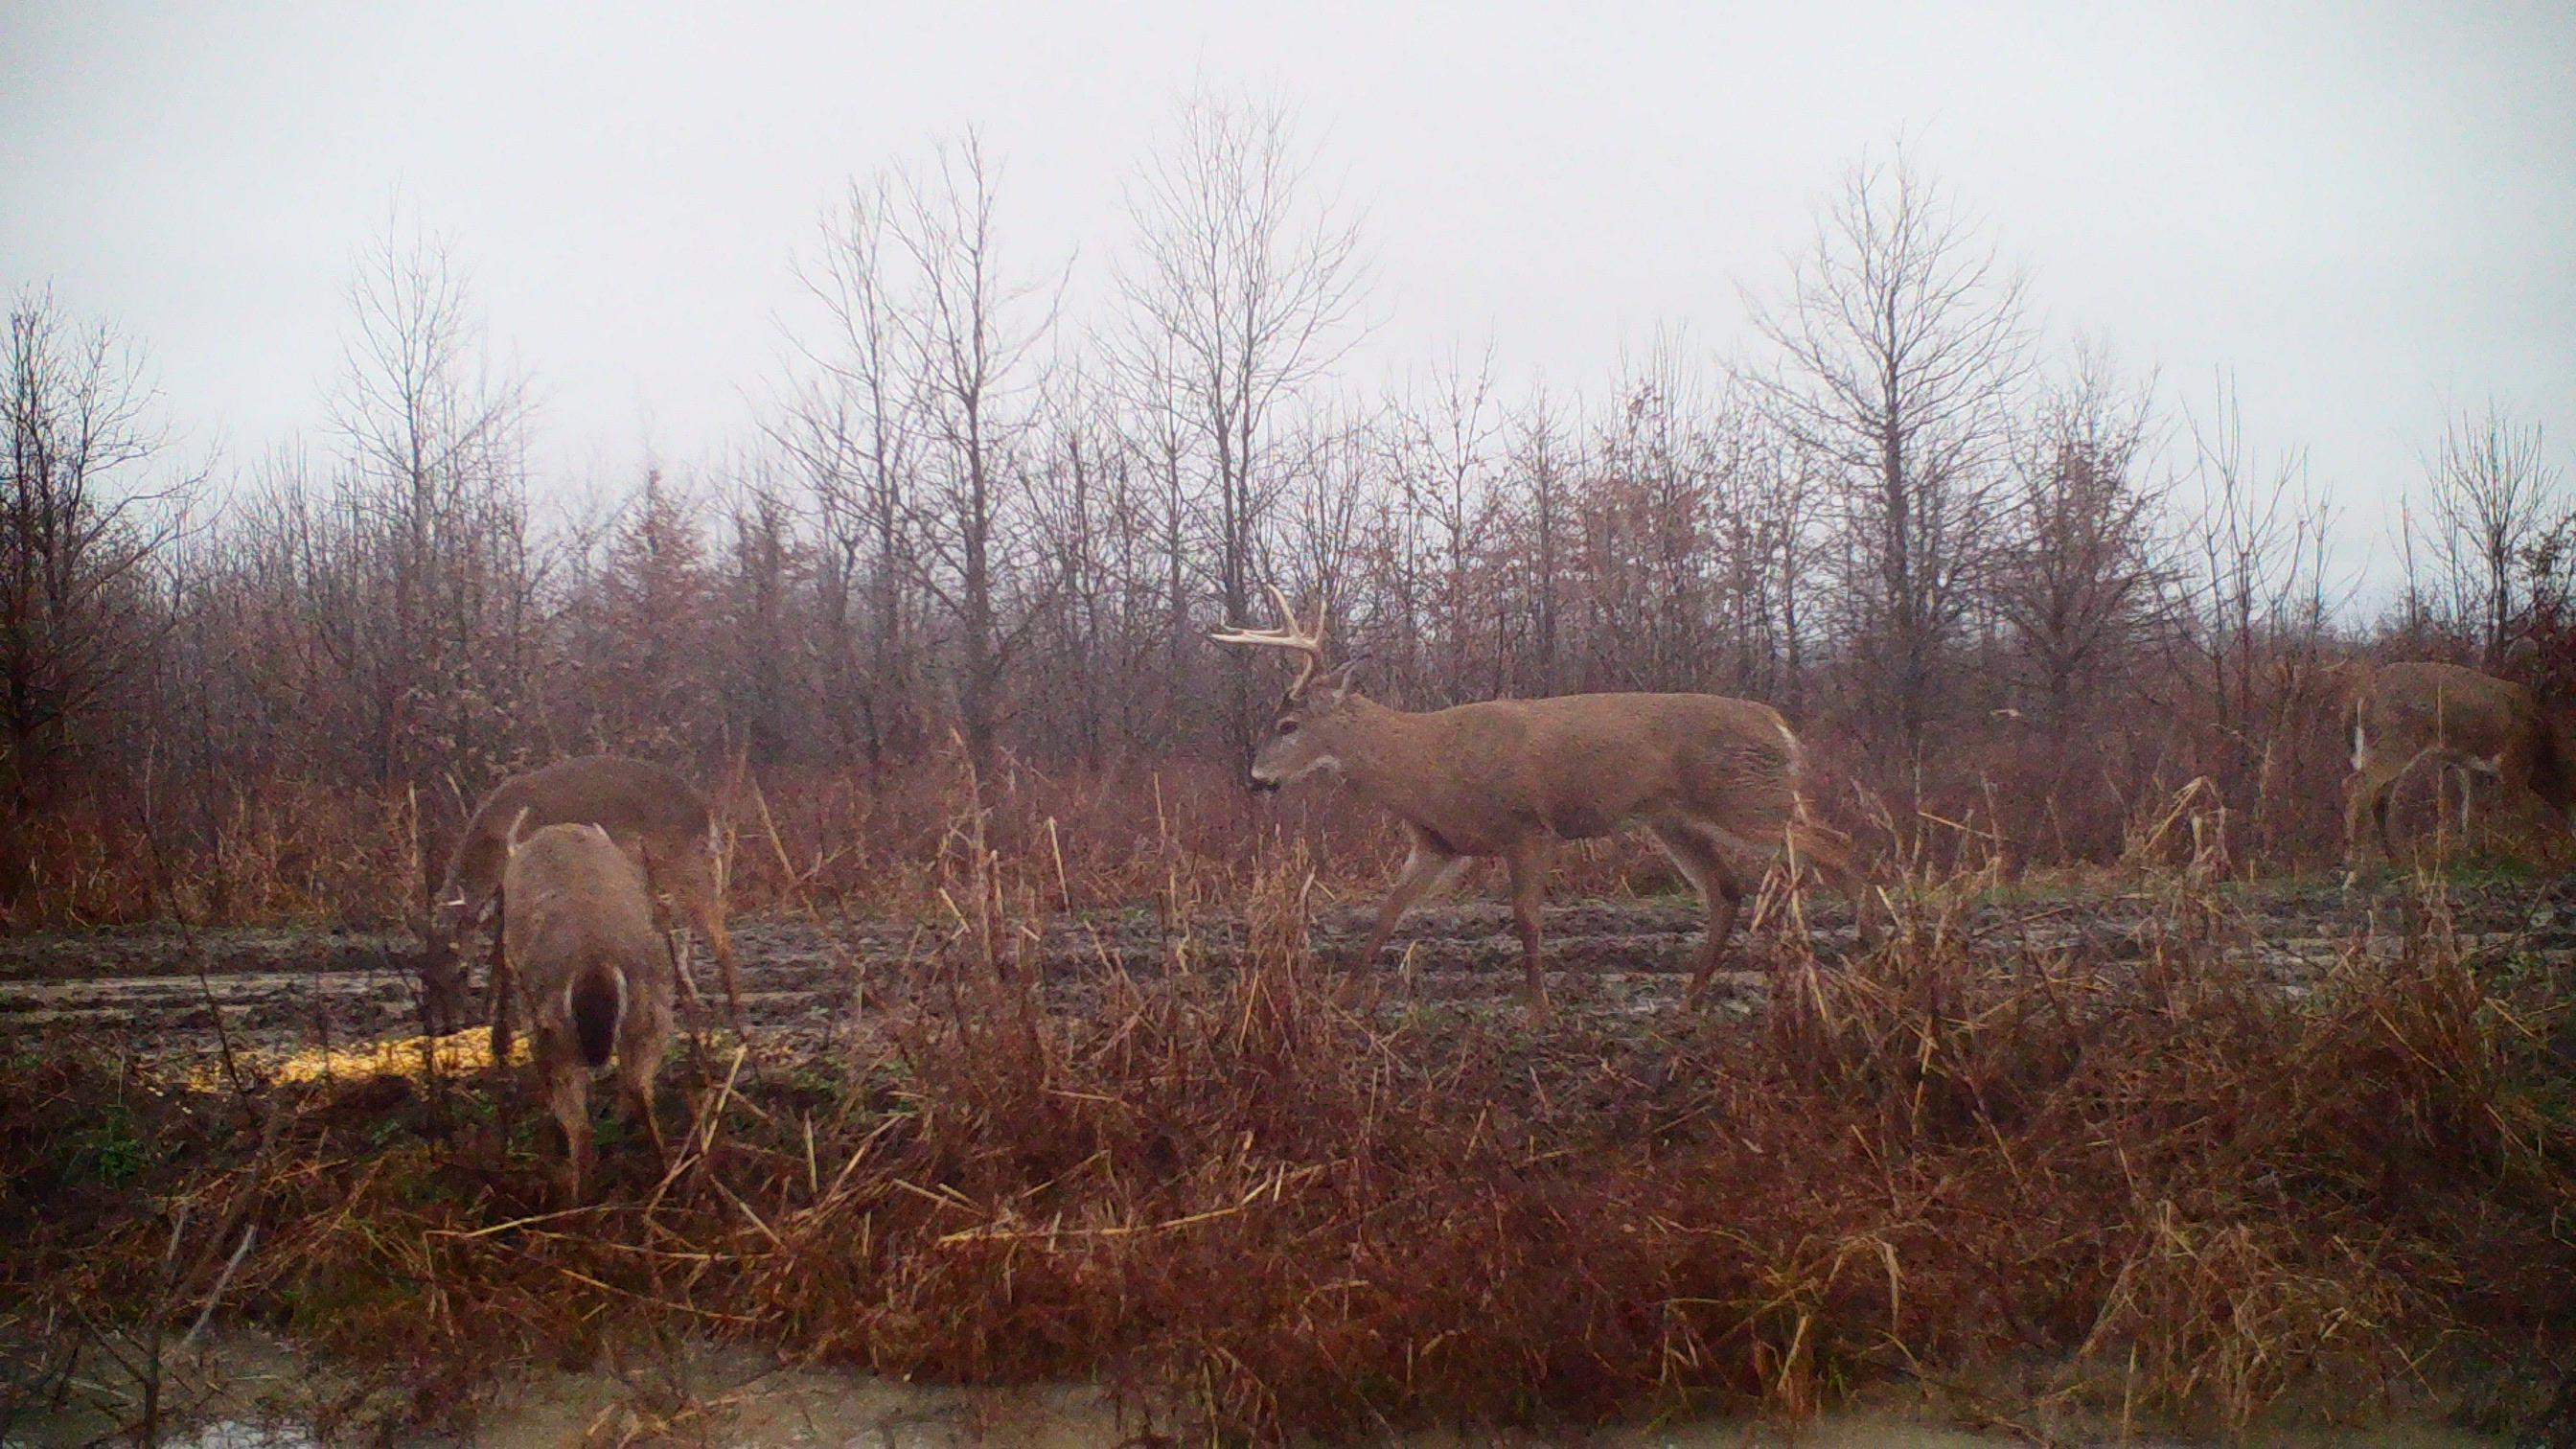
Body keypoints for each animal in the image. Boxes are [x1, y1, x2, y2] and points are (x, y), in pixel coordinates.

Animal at [421, 755, 739, 1056]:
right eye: (427, 980)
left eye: (460, 972)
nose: (449, 1027)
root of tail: (706, 810)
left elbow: (502, 953)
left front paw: (501, 1038)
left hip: (685, 864)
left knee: (721, 937)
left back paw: (736, 1023)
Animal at [500, 814, 672, 1202]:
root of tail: (595, 963)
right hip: (652, 1008)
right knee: (640, 1088)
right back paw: (666, 1176)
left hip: (551, 1029)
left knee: (579, 1126)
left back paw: (576, 1202)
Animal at [1211, 587, 1877, 1021]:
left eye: (1289, 725)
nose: (1256, 779)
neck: (1424, 763)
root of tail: (1782, 728)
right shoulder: (1439, 843)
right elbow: (1387, 912)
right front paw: (1342, 996)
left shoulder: (1526, 826)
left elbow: (1527, 918)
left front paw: (1538, 1009)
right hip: (1674, 818)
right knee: (1727, 889)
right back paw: (1689, 998)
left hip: (1747, 796)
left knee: (1837, 844)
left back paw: (1868, 950)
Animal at [2343, 659, 2573, 866]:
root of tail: (2360, 695)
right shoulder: (2512, 763)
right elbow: (2523, 813)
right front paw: (2533, 854)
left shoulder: (2465, 764)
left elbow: (2468, 808)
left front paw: (2471, 850)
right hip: (2395, 741)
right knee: (2356, 787)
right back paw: (2352, 866)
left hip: (2373, 749)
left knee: (2379, 798)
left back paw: (2395, 860)